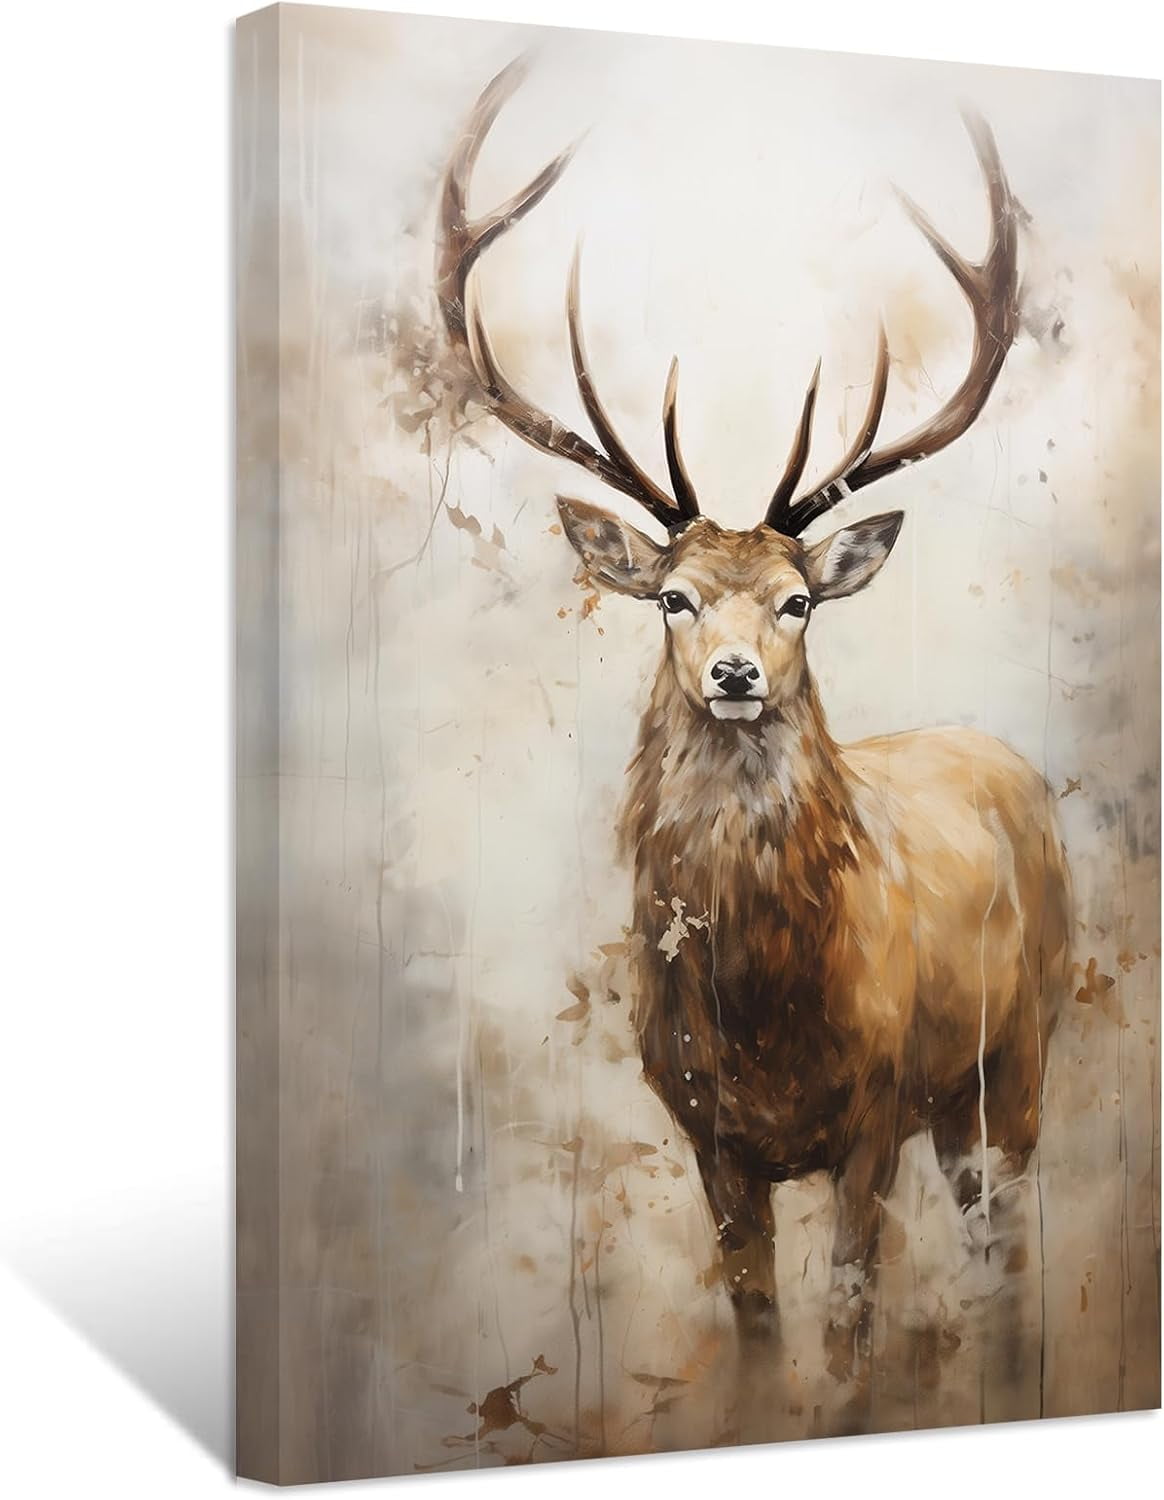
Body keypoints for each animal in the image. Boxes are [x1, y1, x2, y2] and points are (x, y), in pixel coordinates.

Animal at [434, 59, 1072, 1367]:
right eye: (674, 597)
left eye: (798, 602)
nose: (736, 674)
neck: (769, 1022)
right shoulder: (707, 1136)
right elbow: (761, 1341)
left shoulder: (874, 1111)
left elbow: (849, 1337)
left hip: (1021, 1052)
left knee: (1008, 1248)